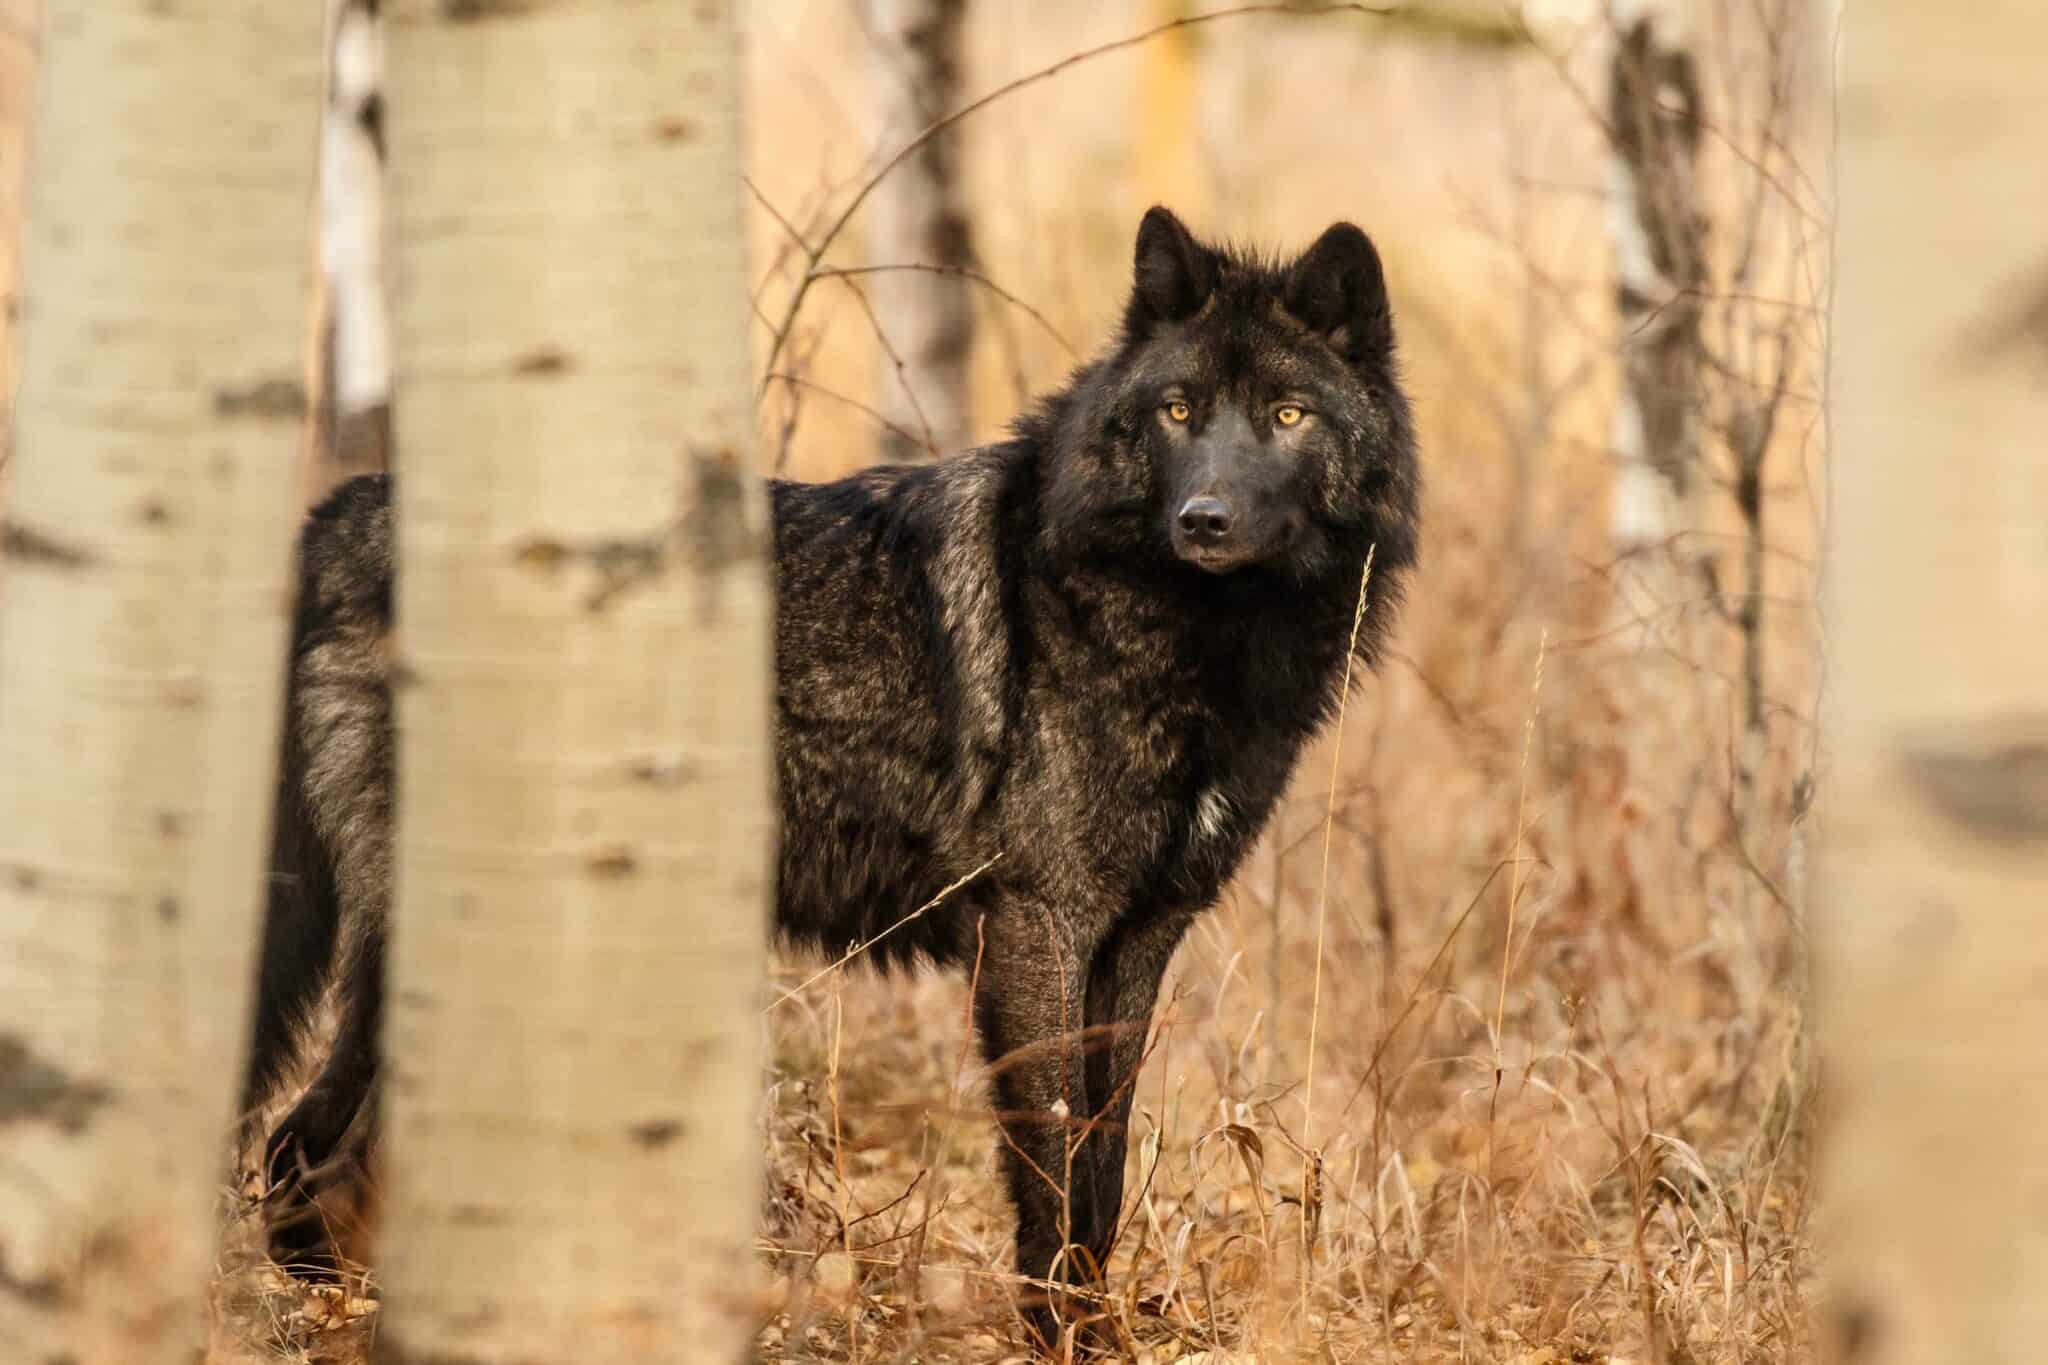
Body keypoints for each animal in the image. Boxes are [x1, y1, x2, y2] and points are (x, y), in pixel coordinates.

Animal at [248, 206, 1420, 1343]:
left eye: (1285, 415)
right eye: (1179, 410)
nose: (1203, 519)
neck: (1191, 633)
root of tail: (334, 513)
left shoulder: (1136, 944)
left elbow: (1102, 1170)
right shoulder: (1037, 928)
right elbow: (1049, 1172)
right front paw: (1057, 1335)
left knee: (309, 1153)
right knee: (305, 1151)